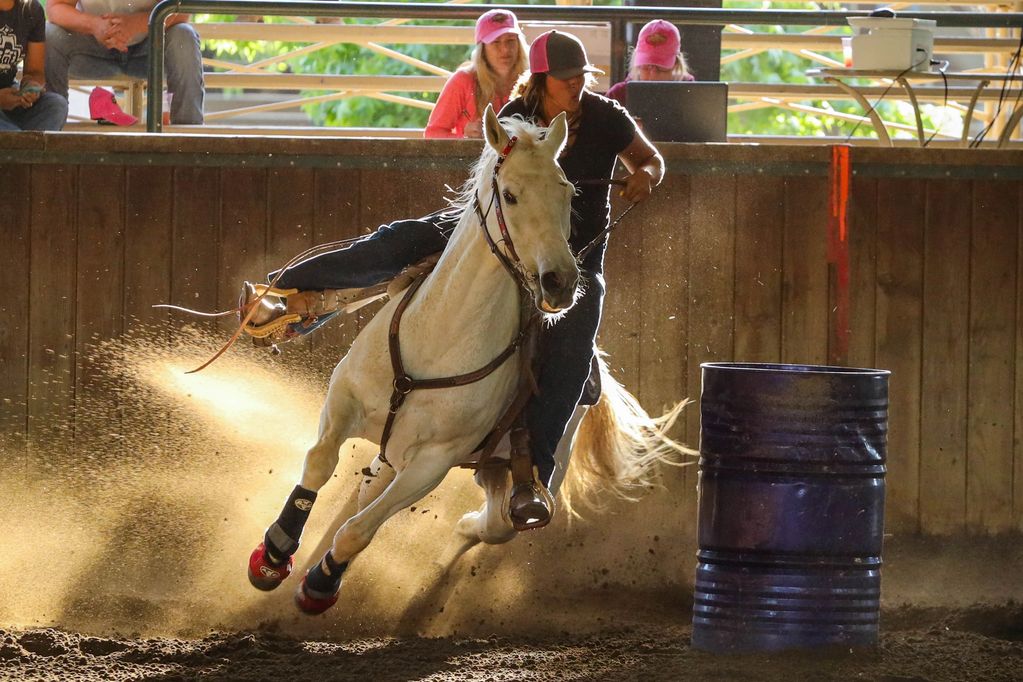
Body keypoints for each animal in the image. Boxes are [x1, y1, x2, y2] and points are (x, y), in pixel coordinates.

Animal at [246, 105, 690, 615]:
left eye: (568, 191)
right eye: (510, 195)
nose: (559, 282)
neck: (438, 338)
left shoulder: (434, 461)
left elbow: (359, 532)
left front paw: (319, 585)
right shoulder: (344, 400)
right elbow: (320, 463)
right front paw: (274, 553)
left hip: (513, 470)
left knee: (491, 524)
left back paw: (466, 532)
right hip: (398, 453)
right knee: (368, 489)